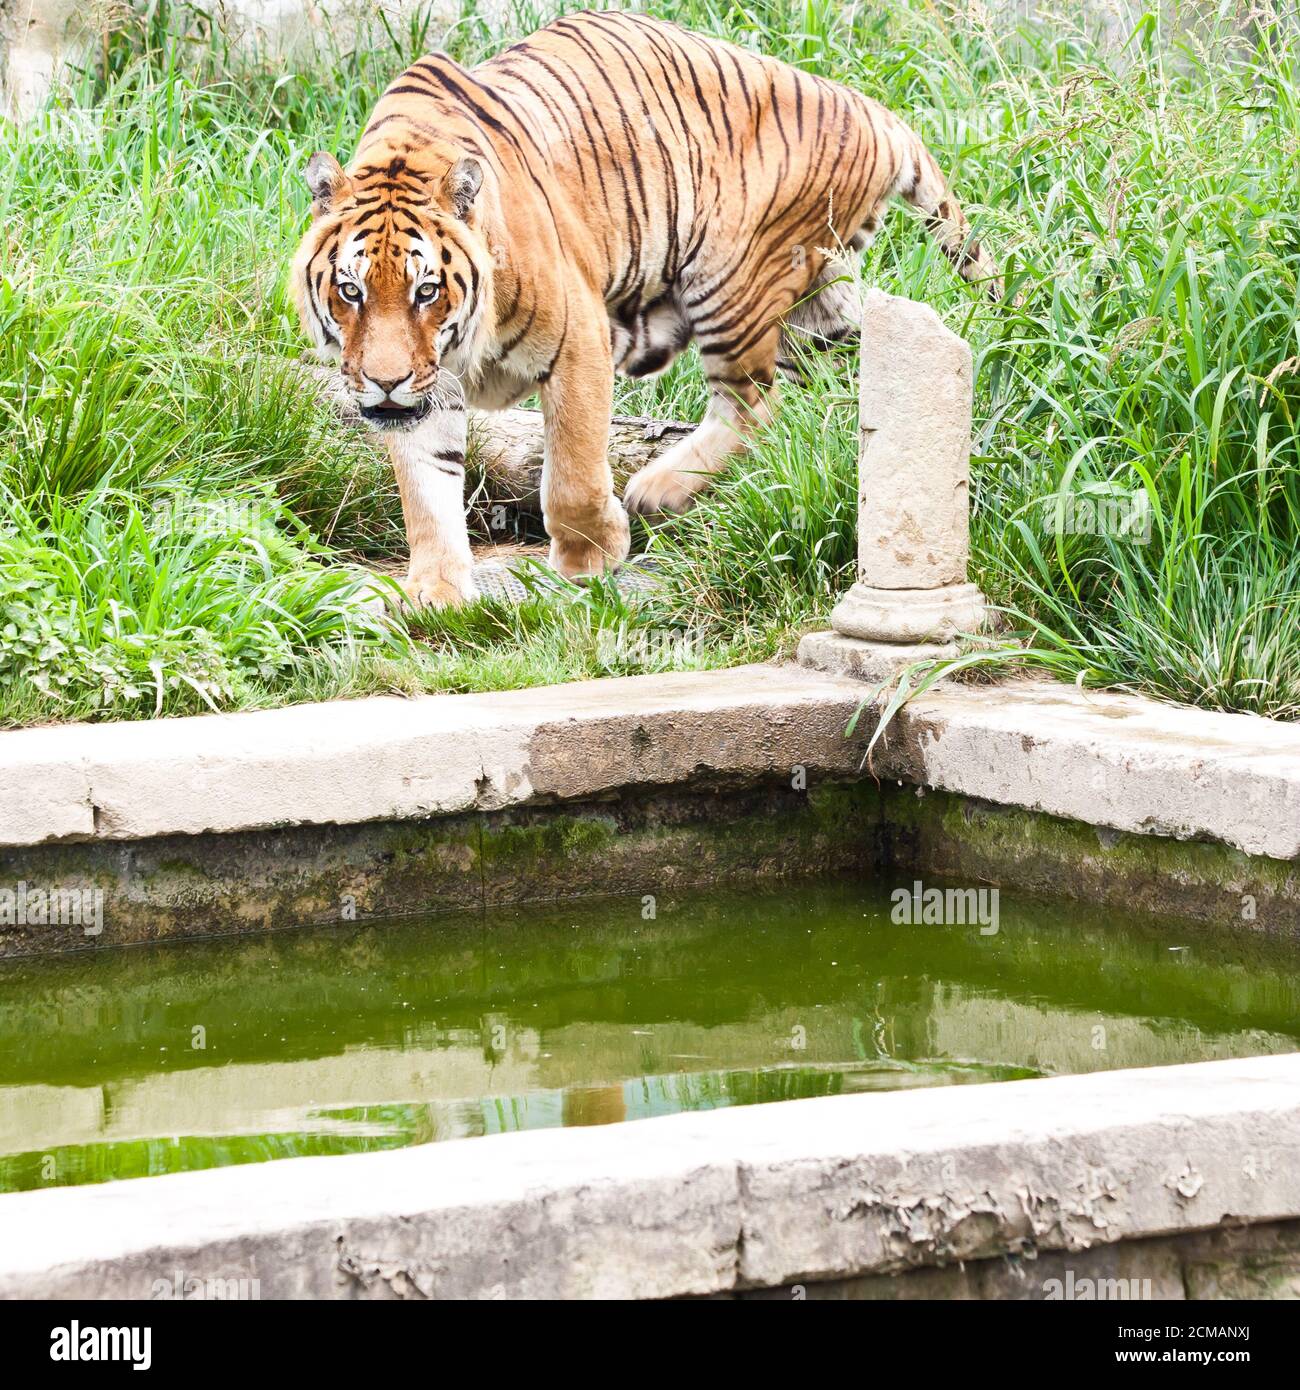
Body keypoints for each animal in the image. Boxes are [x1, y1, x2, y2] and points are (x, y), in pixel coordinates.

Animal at [291, 9, 1001, 608]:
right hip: (820, 300)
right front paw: (436, 593)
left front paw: (591, 559)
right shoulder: (429, 388)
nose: (384, 382)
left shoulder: (576, 340)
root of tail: (872, 110)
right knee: (818, 385)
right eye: (351, 290)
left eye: (427, 291)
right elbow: (426, 490)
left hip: (727, 274)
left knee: (755, 401)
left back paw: (657, 489)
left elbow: (573, 471)